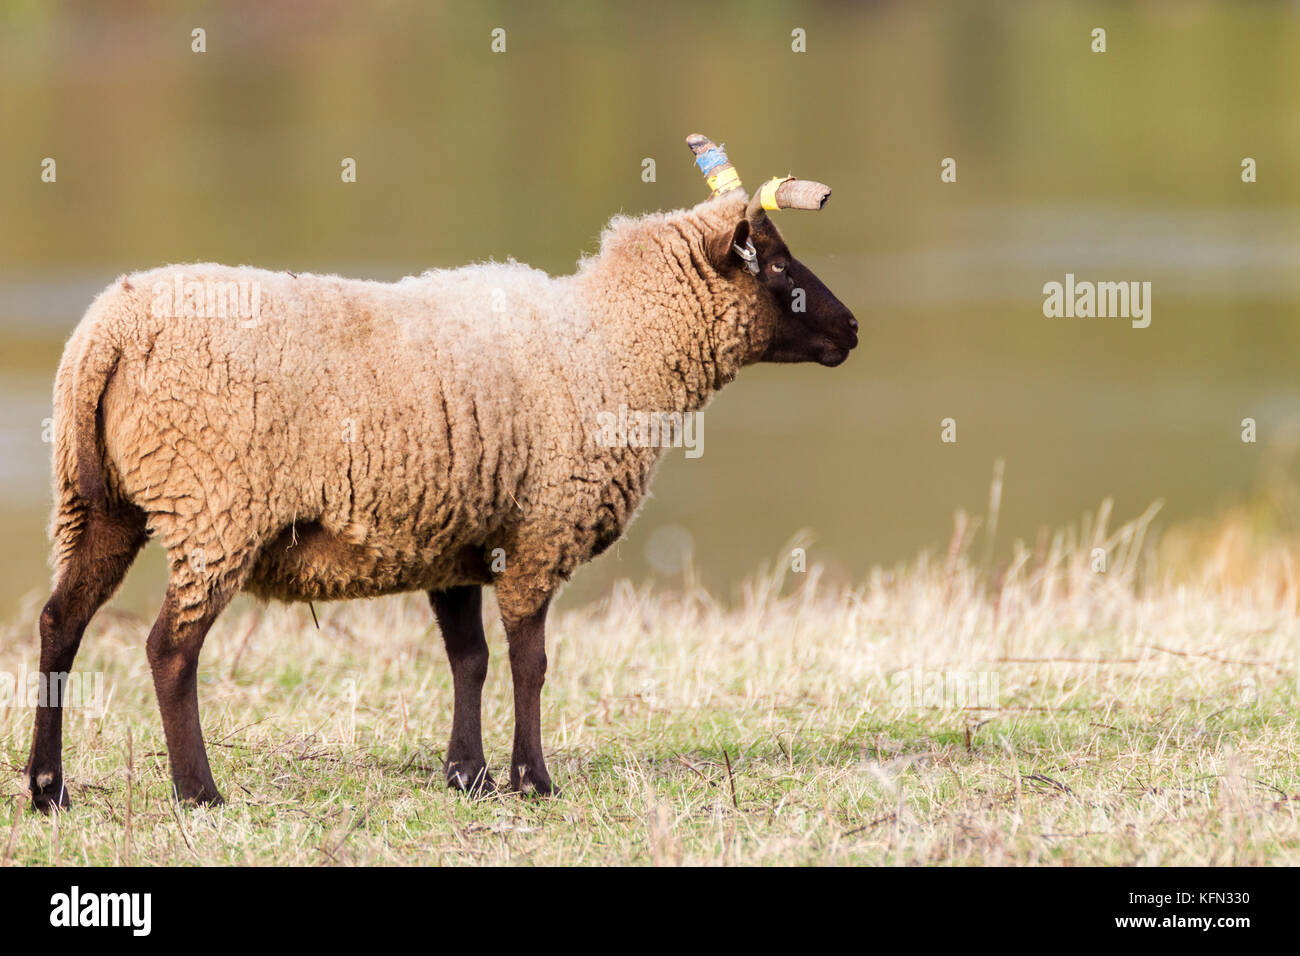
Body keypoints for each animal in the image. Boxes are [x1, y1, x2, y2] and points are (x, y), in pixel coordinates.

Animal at [24, 134, 859, 810]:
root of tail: (108, 333)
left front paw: (470, 775)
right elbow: (529, 661)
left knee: (60, 624)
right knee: (170, 650)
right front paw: (532, 779)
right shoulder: (541, 529)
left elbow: (471, 659)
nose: (851, 328)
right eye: (776, 264)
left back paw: (47, 789)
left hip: (96, 504)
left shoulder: (452, 539)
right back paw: (197, 792)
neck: (615, 342)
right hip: (215, 510)